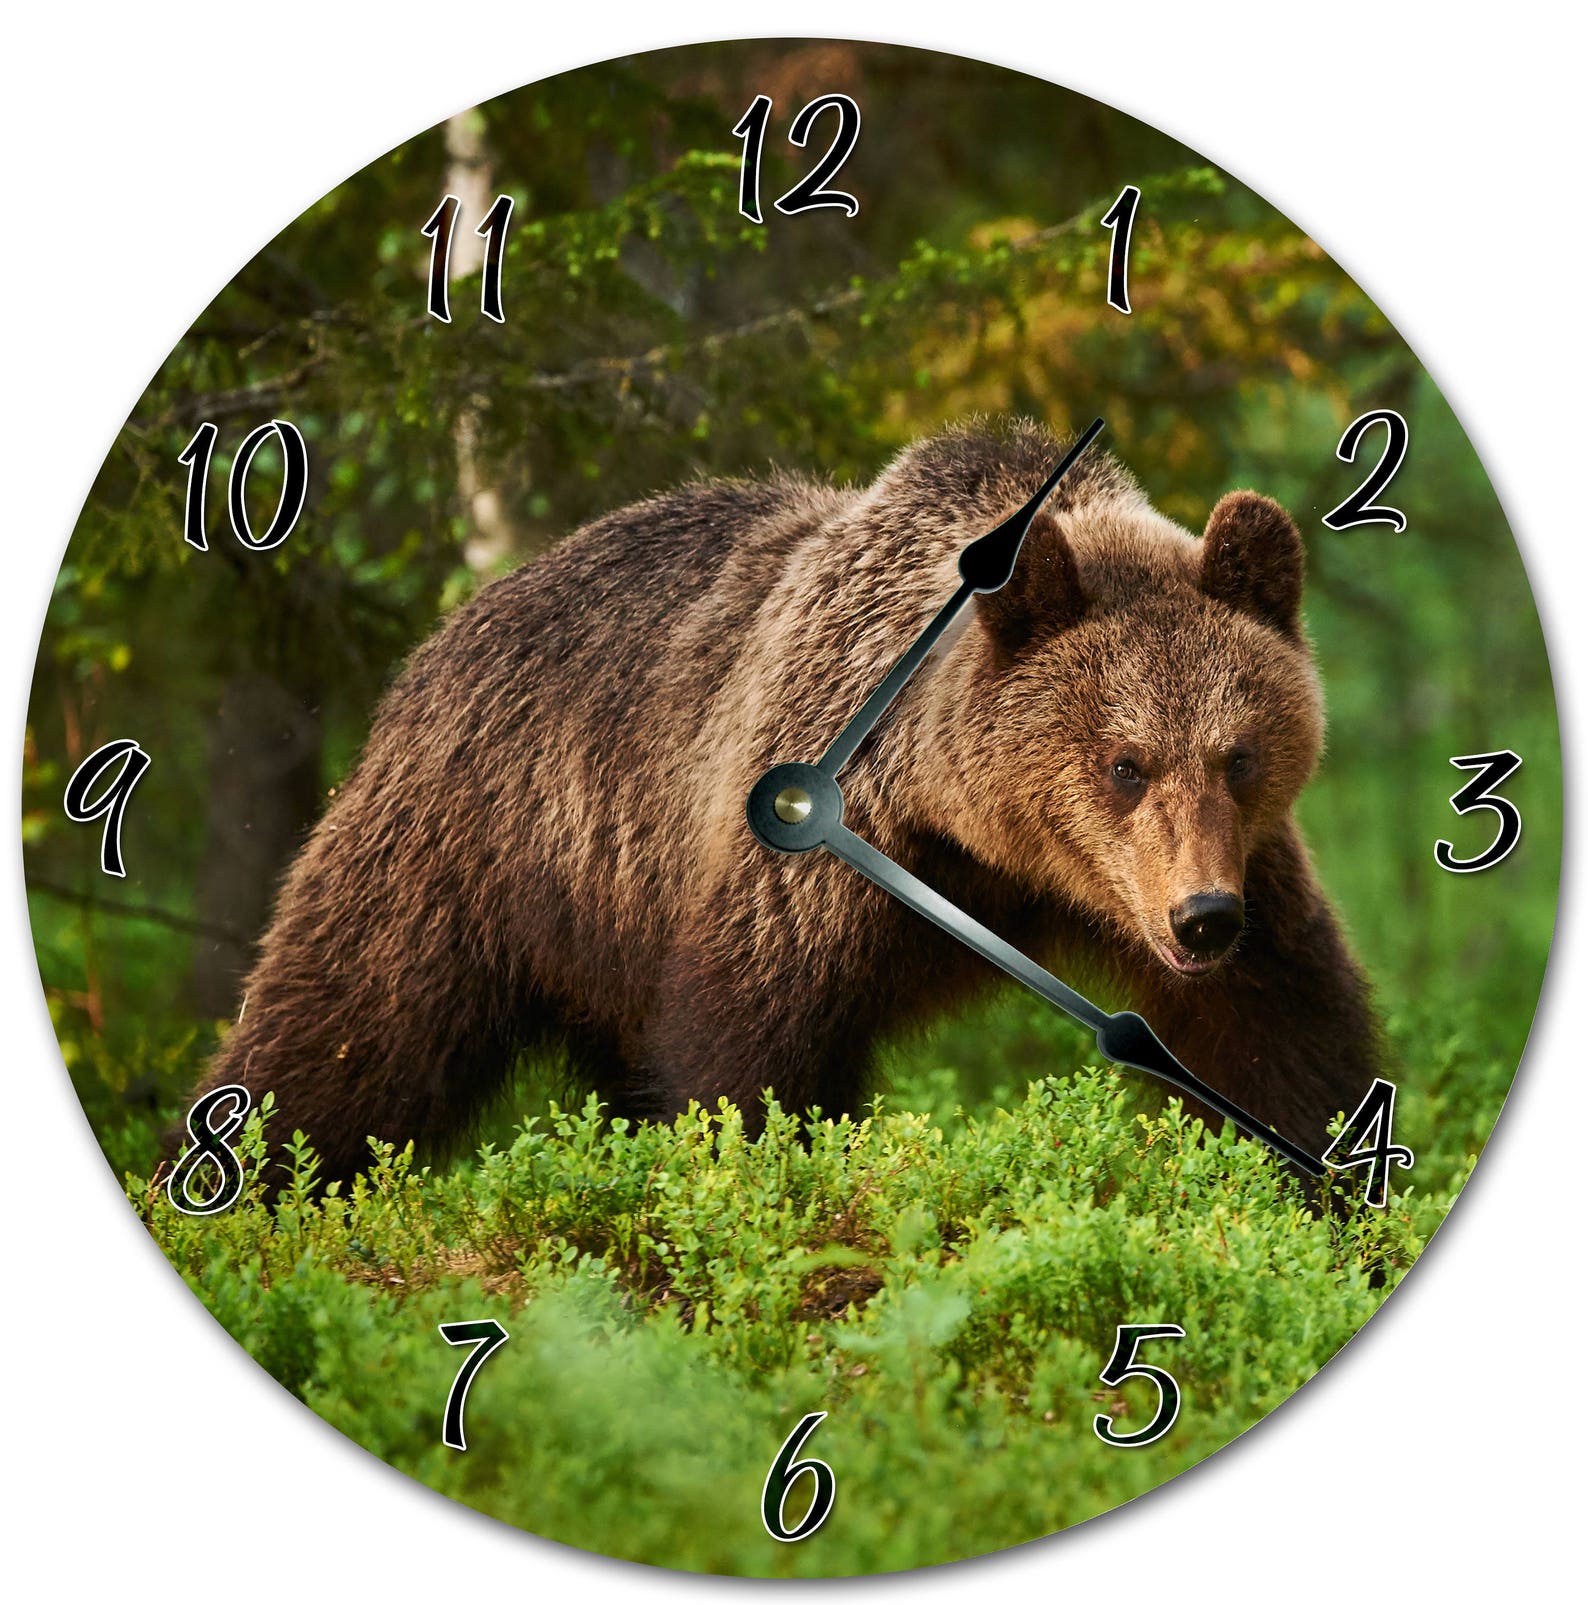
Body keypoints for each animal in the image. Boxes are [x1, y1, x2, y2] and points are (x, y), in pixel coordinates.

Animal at [184, 416, 1380, 1182]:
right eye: (1124, 762)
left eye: (1237, 754)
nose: (1200, 918)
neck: (977, 839)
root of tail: (439, 640)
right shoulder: (804, 853)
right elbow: (749, 1044)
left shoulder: (1237, 869)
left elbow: (1282, 1025)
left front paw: (1333, 1187)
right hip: (473, 851)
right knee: (343, 1038)